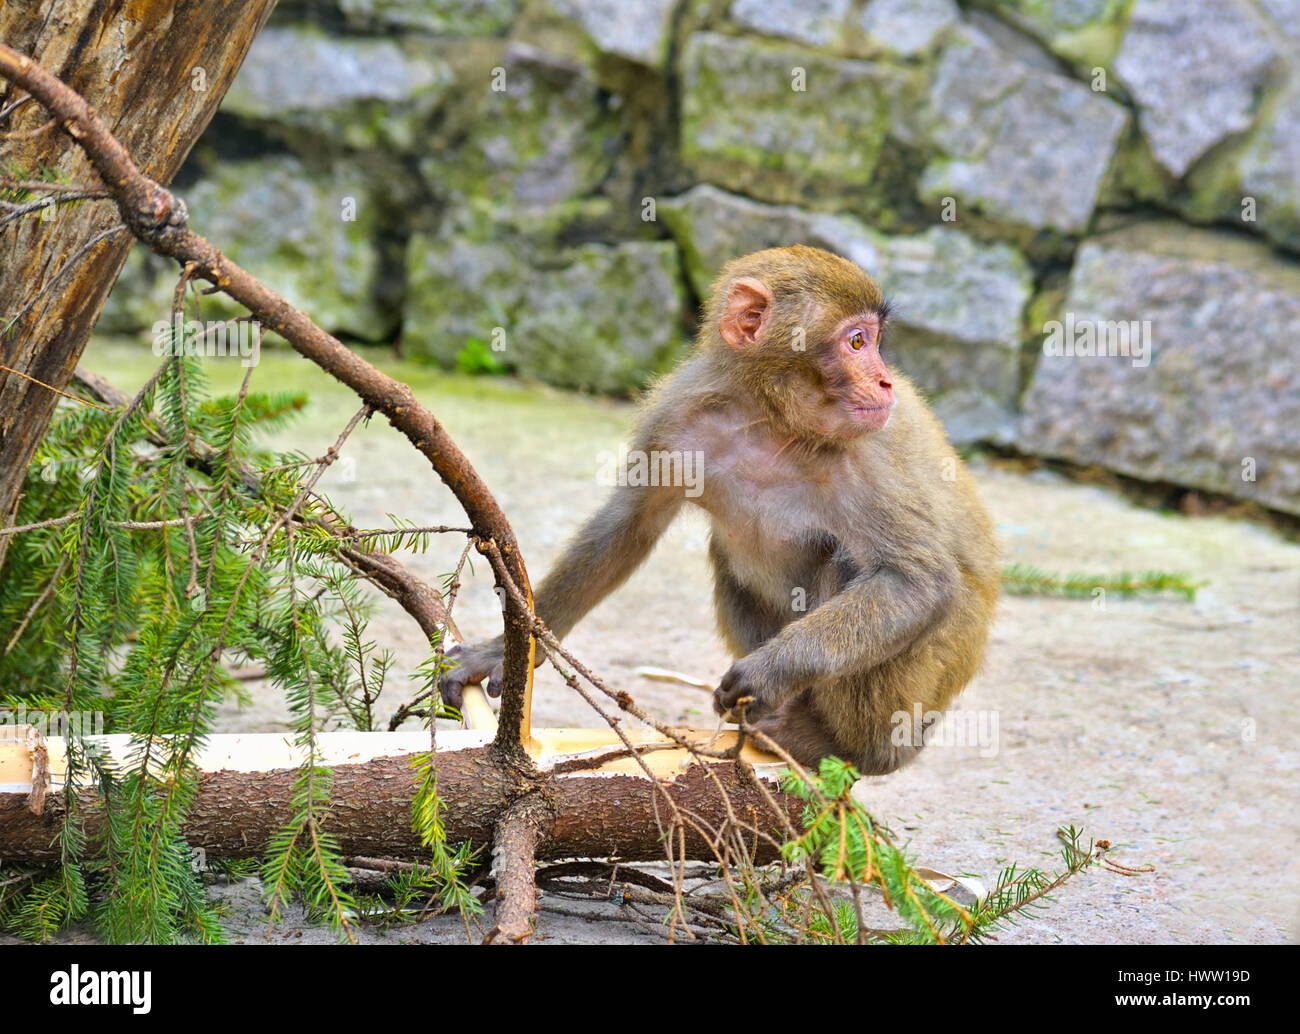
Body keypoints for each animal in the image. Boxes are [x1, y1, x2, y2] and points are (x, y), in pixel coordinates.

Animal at [440, 245, 1000, 775]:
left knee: (849, 563)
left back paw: (836, 745)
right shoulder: (674, 419)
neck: (768, 420)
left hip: (921, 688)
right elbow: (627, 529)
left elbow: (915, 581)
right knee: (730, 555)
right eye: (858, 342)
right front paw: (503, 649)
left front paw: (769, 673)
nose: (886, 383)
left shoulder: (867, 453)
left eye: (872, 342)